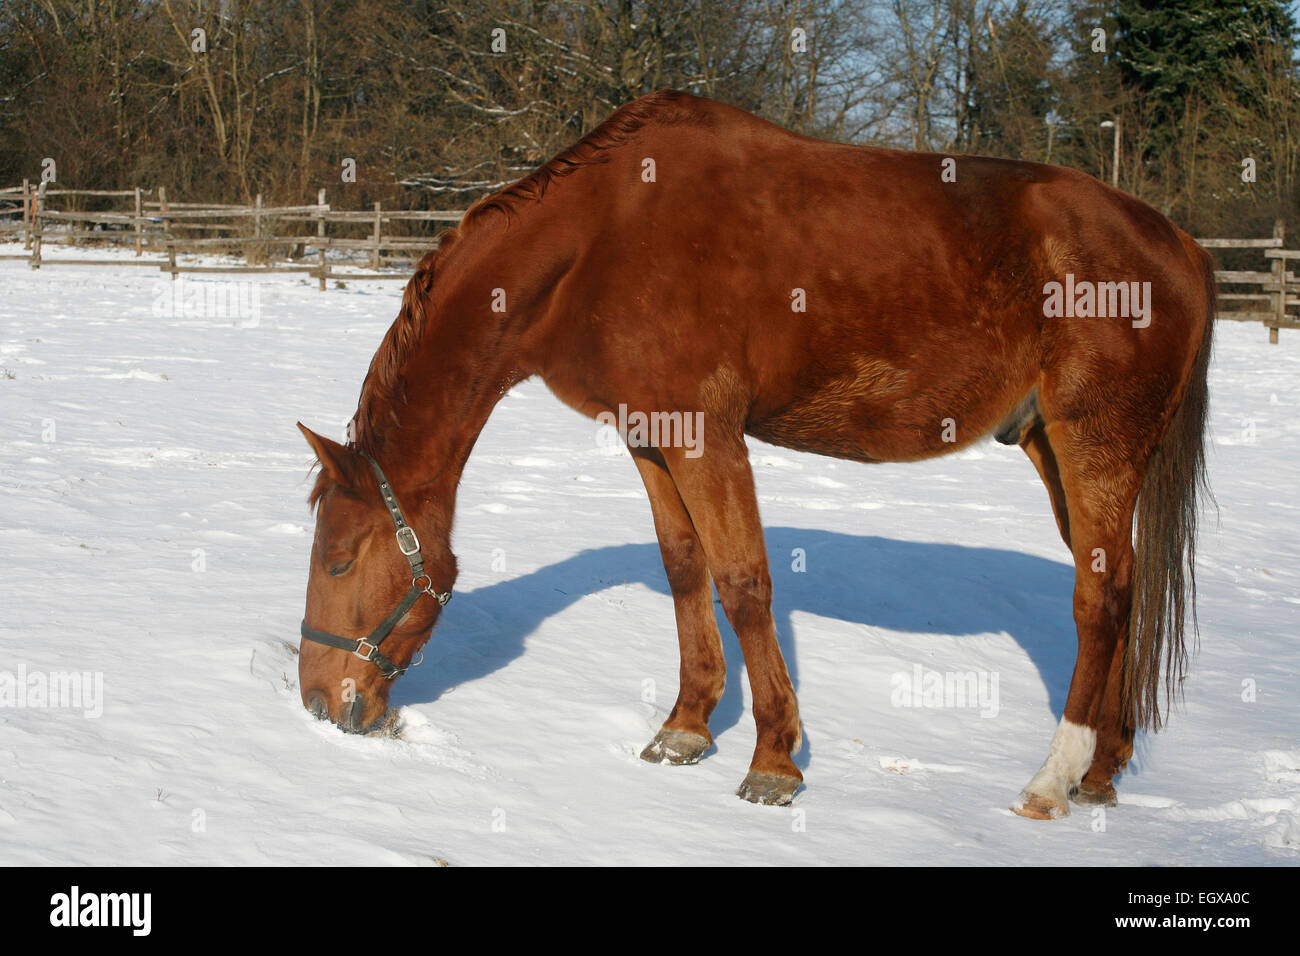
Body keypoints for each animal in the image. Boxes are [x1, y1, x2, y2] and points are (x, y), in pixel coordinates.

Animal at [296, 89, 1214, 818]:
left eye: (338, 561)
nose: (315, 699)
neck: (598, 242)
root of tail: (1178, 244)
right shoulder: (651, 437)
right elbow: (685, 569)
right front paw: (685, 727)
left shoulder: (708, 434)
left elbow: (743, 584)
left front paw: (774, 760)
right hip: (1053, 450)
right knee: (1123, 587)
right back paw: (1103, 769)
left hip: (1093, 443)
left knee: (1099, 601)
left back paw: (1052, 780)